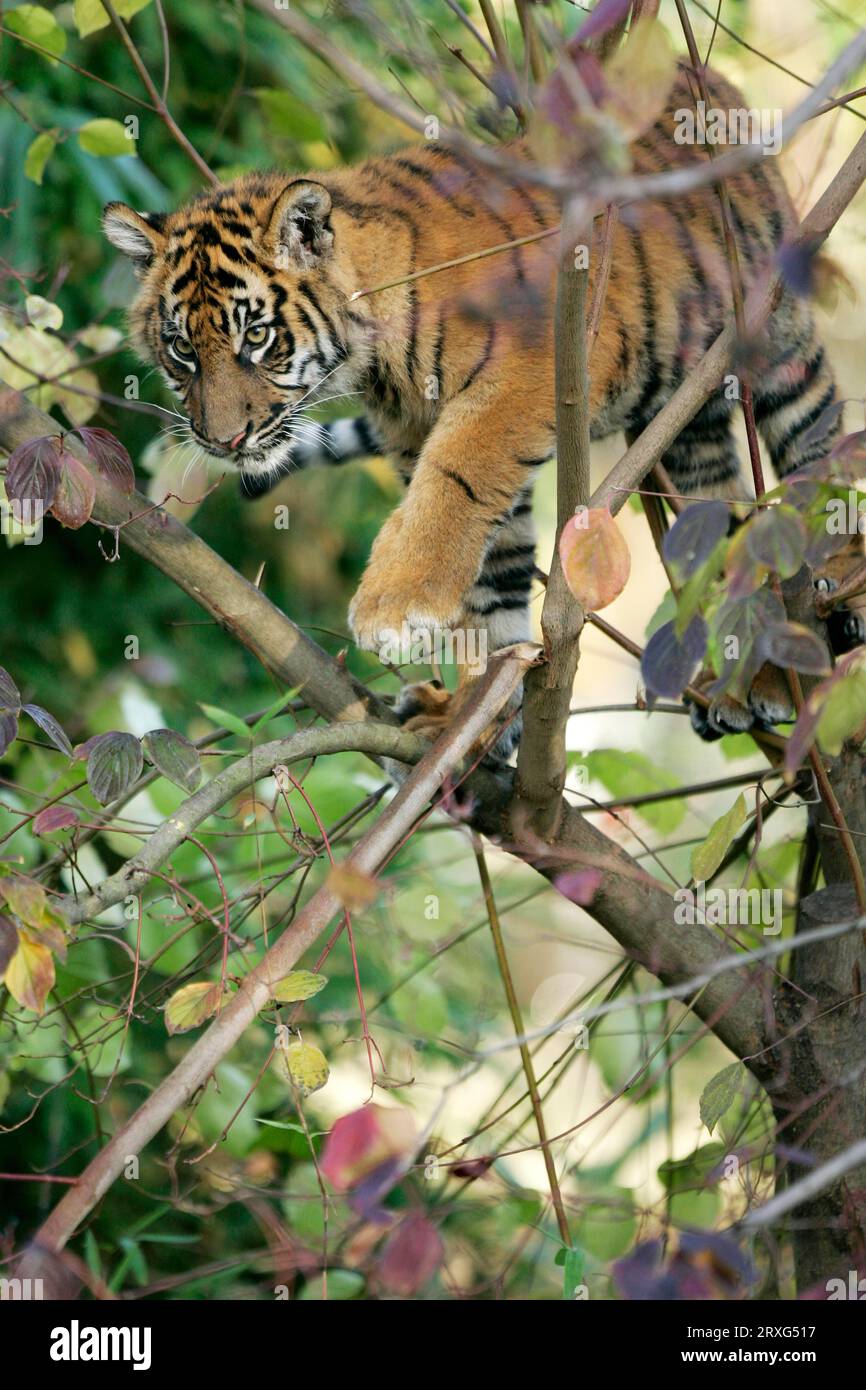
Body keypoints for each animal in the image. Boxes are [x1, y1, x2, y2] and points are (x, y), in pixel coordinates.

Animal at [103, 62, 865, 755]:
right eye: (181, 349)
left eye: (256, 337)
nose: (223, 441)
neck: (375, 357)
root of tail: (704, 77)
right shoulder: (412, 434)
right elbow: (489, 578)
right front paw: (473, 713)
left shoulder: (517, 384)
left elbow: (451, 487)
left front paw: (392, 608)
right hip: (684, 426)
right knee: (725, 529)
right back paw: (745, 682)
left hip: (780, 348)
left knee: (822, 457)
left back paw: (830, 604)